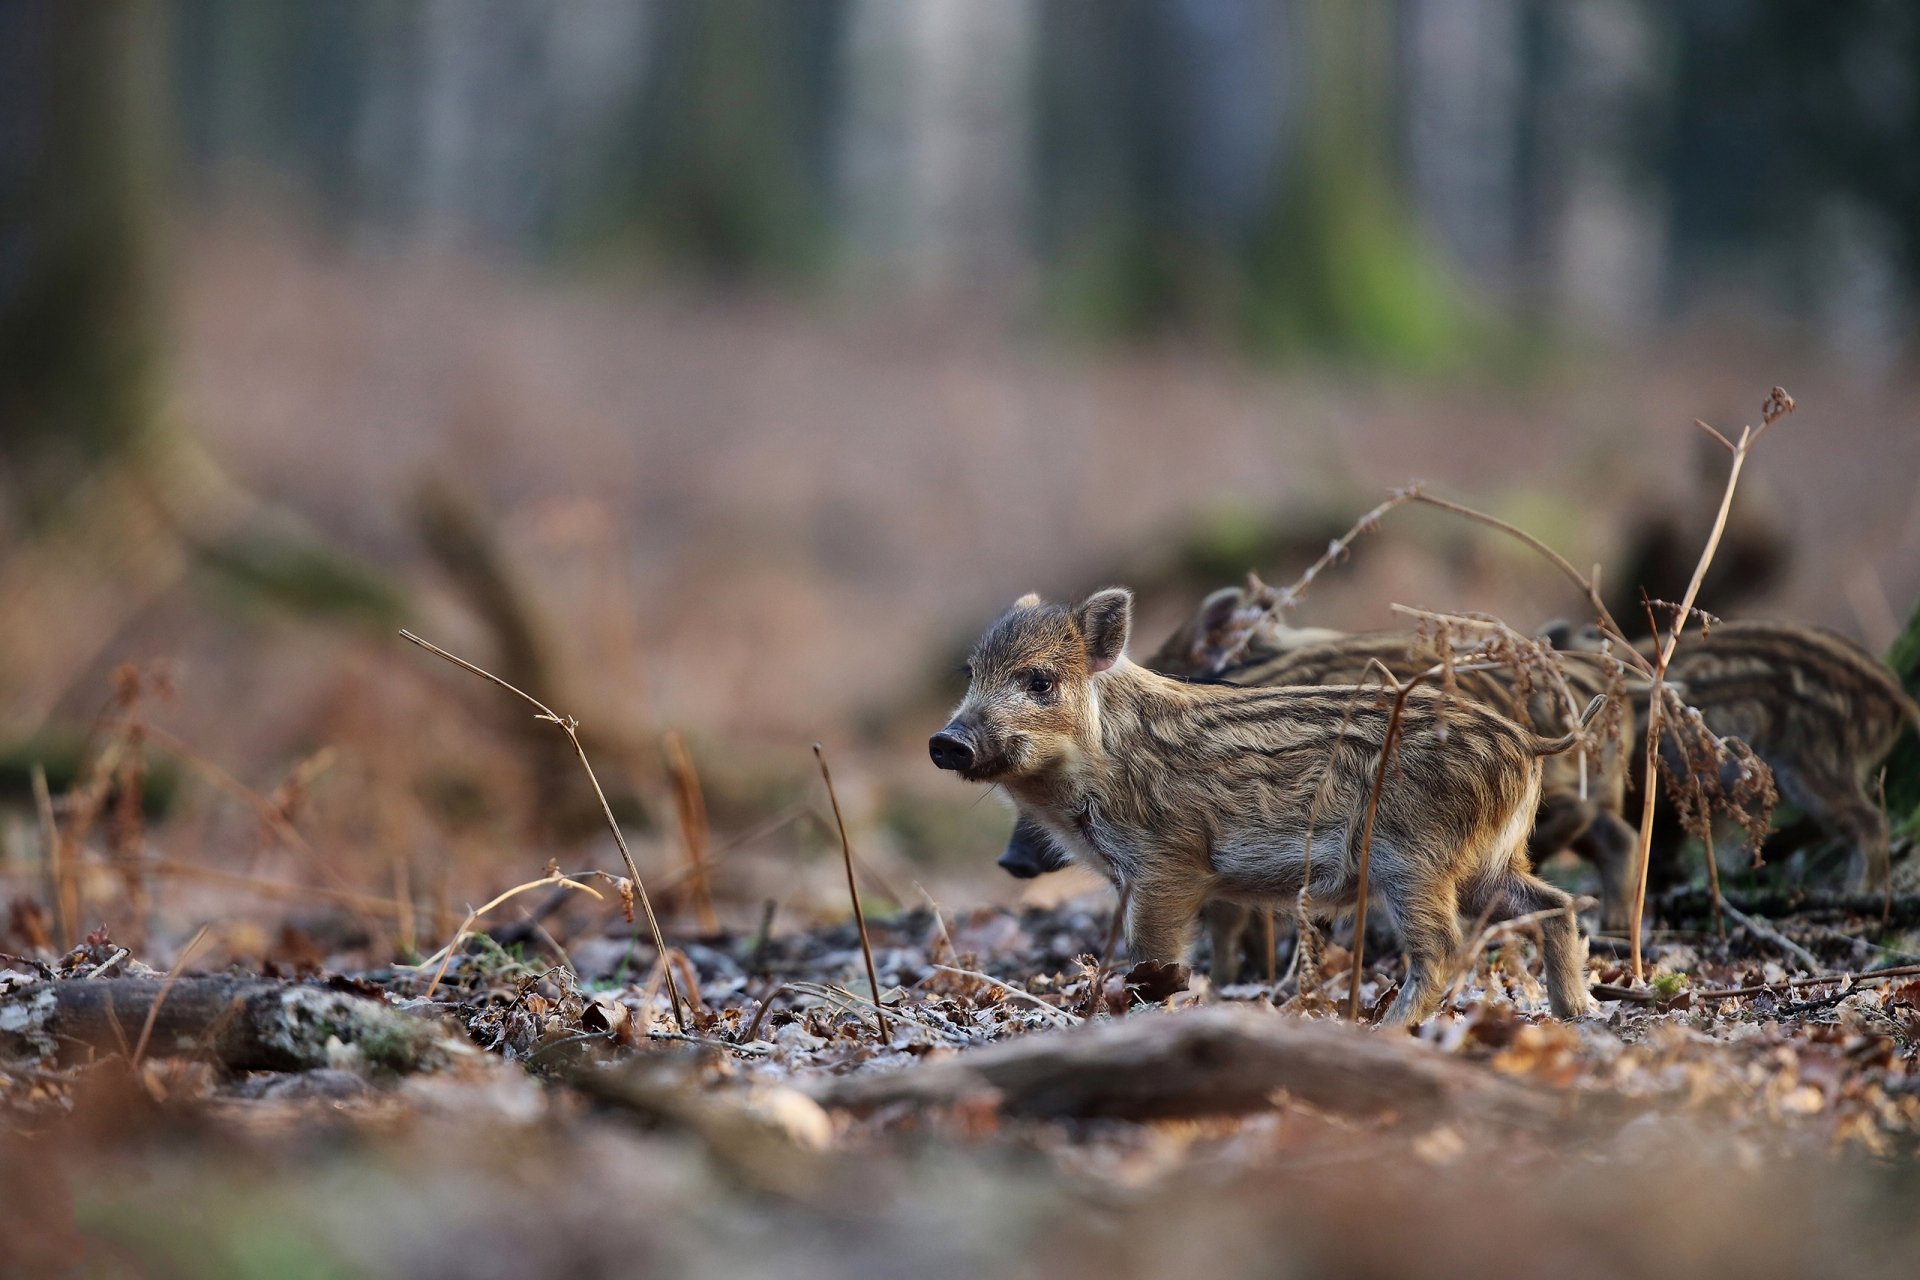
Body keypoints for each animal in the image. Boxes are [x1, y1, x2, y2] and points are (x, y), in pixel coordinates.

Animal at [934, 588, 1597, 1024]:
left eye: (1040, 682)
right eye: (971, 674)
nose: (946, 741)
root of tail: (1529, 742)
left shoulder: (1167, 867)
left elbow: (1153, 958)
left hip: (1414, 859)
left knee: (1444, 948)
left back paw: (1386, 1029)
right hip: (1490, 860)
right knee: (1554, 905)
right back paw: (1575, 1011)